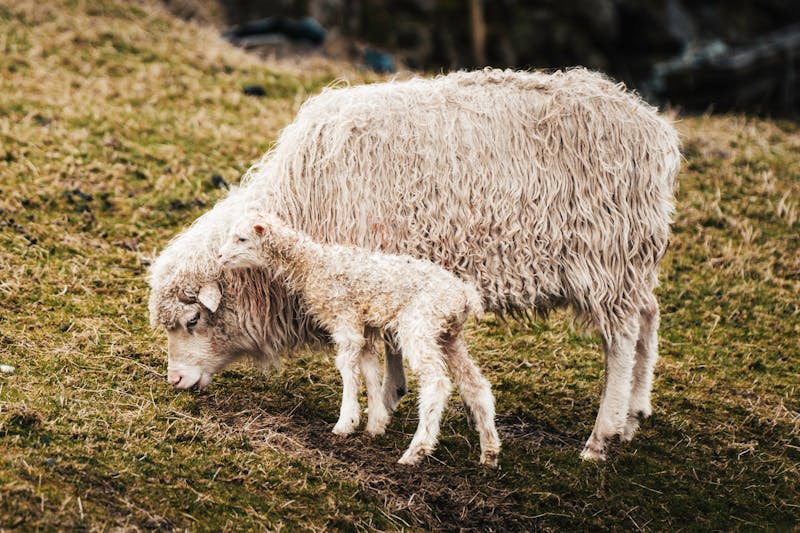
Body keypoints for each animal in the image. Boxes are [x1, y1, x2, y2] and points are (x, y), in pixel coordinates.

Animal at [215, 211, 500, 466]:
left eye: (242, 238)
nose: (219, 256)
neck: (314, 265)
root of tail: (465, 295)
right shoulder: (364, 326)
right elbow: (369, 369)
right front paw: (376, 424)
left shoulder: (345, 316)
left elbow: (347, 367)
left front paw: (346, 422)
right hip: (448, 336)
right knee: (475, 385)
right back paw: (489, 453)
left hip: (420, 324)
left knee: (436, 383)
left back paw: (416, 451)